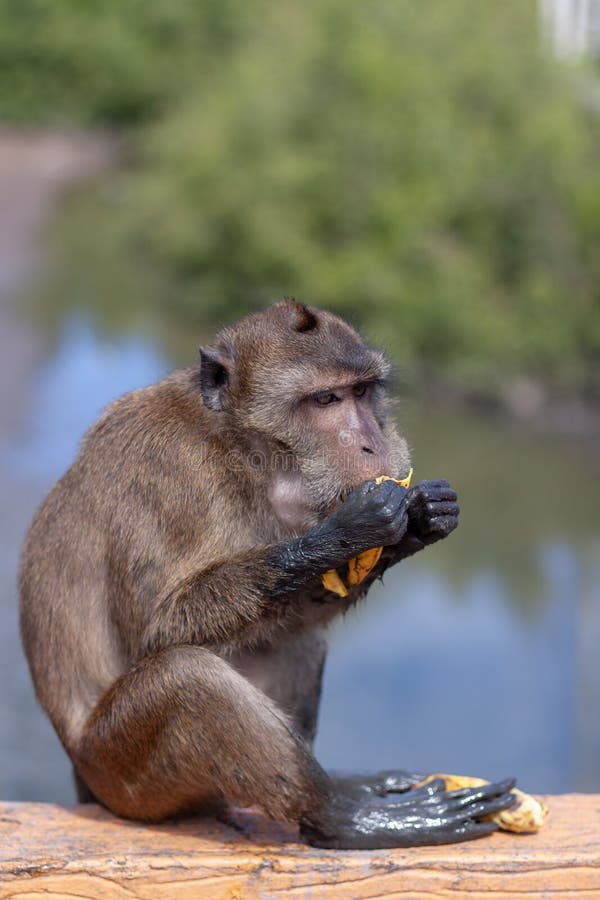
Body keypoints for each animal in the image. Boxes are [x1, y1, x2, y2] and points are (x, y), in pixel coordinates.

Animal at [19, 299, 516, 849]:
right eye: (325, 399)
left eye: (362, 392)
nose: (372, 443)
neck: (236, 447)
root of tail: (84, 778)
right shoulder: (169, 472)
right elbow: (159, 629)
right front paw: (349, 530)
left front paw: (422, 519)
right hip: (122, 778)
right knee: (186, 677)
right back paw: (340, 815)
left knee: (295, 636)